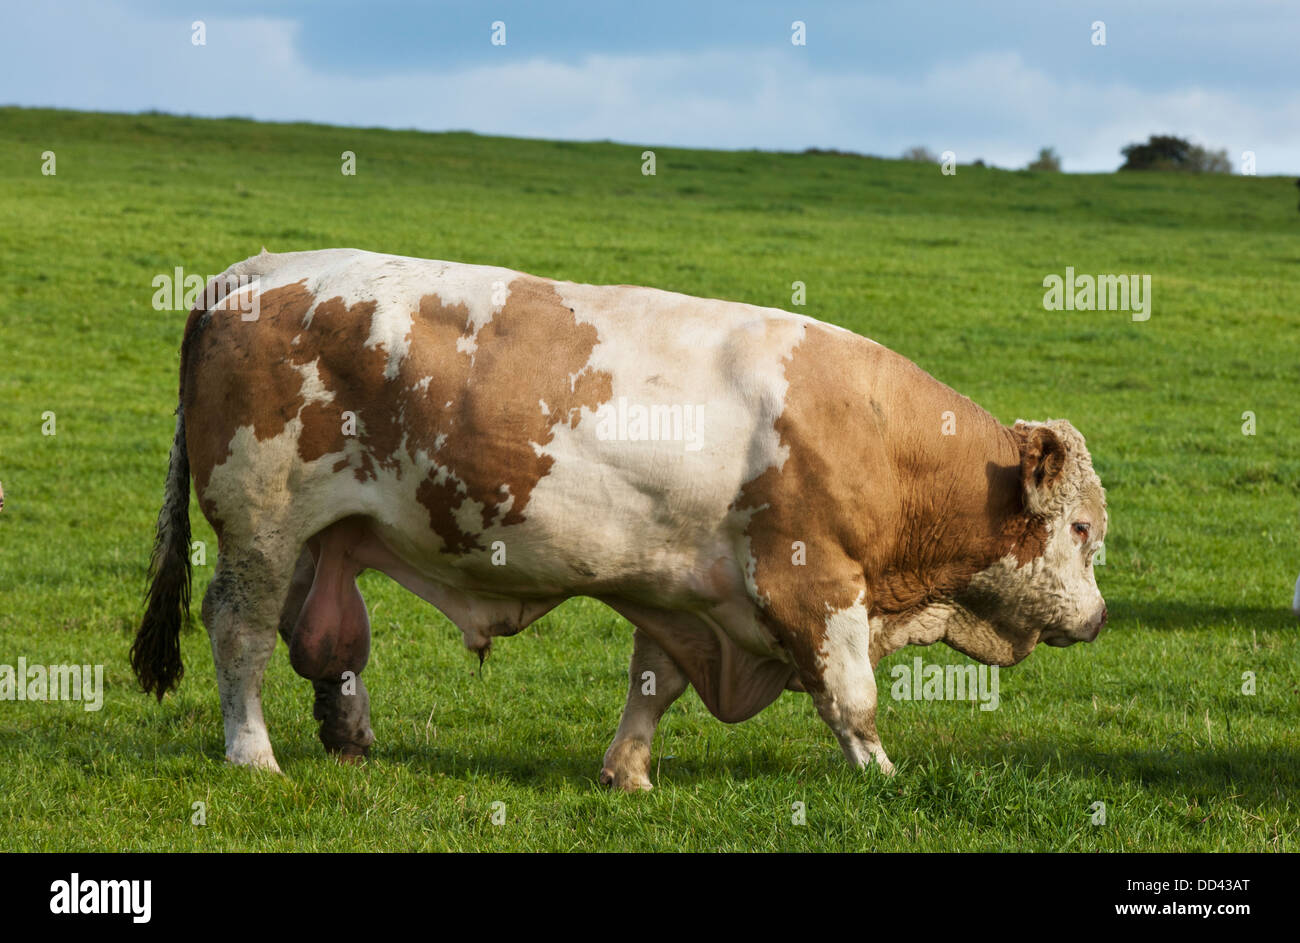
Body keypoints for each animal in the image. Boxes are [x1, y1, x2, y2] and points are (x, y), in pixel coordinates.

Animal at [131, 248, 1109, 789]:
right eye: (1083, 531)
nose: (1101, 617)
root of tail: (250, 272)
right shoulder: (815, 581)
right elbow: (852, 696)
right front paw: (882, 777)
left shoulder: (688, 592)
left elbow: (653, 685)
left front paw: (629, 772)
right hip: (260, 521)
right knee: (241, 630)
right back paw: (253, 754)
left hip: (317, 532)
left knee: (318, 634)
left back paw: (346, 731)